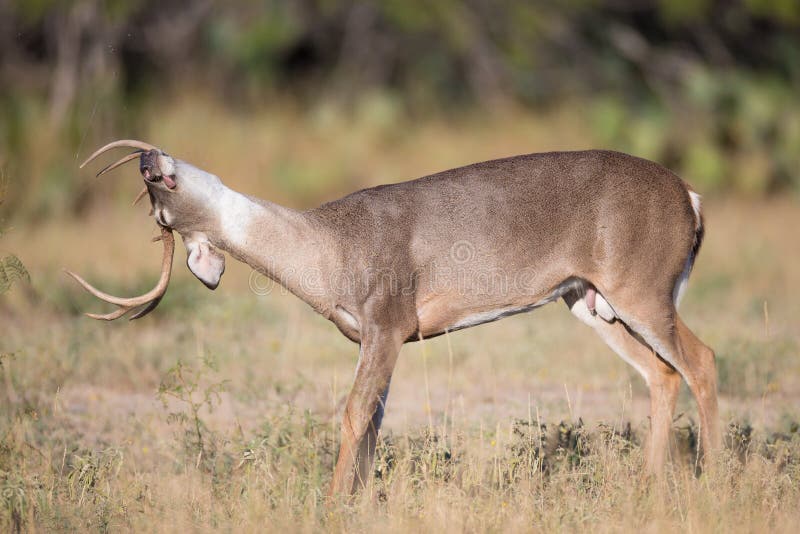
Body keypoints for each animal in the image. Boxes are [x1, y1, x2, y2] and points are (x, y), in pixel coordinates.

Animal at [67, 139, 720, 495]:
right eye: (161, 213)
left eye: (164, 195)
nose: (145, 157)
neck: (328, 251)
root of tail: (692, 197)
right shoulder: (379, 336)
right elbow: (373, 423)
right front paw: (356, 501)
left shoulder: (389, 317)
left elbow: (352, 415)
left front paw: (331, 506)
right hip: (588, 299)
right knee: (664, 373)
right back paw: (649, 486)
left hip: (641, 287)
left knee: (704, 361)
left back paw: (716, 485)